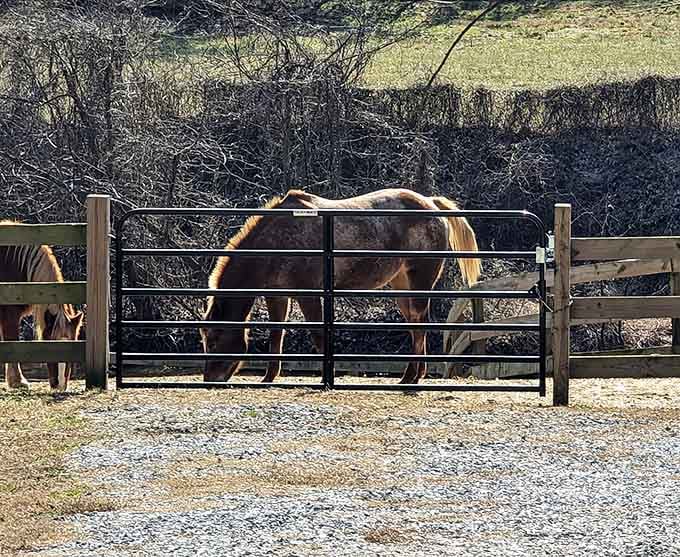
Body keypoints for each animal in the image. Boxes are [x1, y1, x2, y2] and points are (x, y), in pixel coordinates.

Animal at [200, 188, 481, 384]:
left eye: (213, 341)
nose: (210, 380)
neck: (277, 240)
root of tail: (431, 203)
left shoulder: (308, 294)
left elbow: (318, 334)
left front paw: (328, 377)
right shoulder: (278, 296)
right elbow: (277, 334)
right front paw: (269, 377)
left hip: (419, 281)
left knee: (420, 323)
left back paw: (412, 376)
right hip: (402, 285)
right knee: (414, 323)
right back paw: (411, 375)